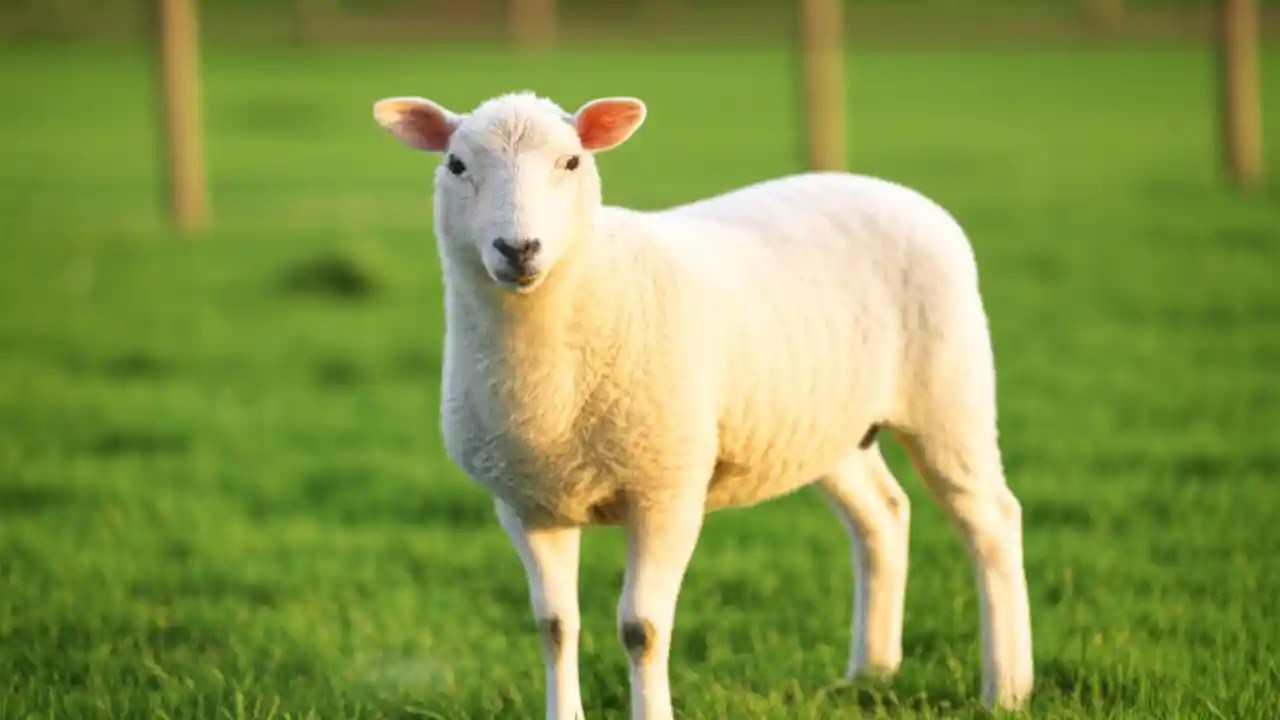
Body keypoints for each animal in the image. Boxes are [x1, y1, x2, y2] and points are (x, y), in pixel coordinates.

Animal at [372, 90, 1034, 720]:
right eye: (457, 165)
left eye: (572, 161)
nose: (518, 248)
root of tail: (896, 192)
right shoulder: (526, 503)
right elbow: (555, 627)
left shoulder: (665, 488)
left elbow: (641, 629)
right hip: (825, 425)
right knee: (883, 514)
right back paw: (871, 673)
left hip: (949, 393)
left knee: (992, 521)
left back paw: (1007, 688)